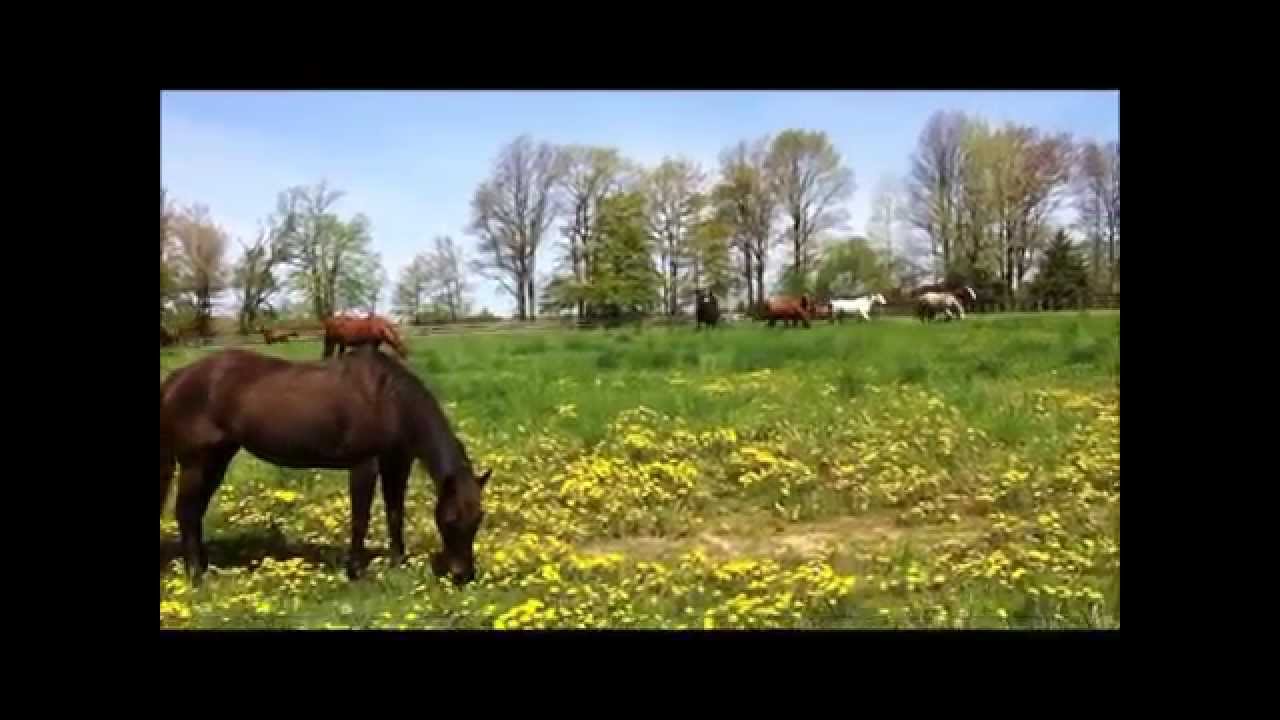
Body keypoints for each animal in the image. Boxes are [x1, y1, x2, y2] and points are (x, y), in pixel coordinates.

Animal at [159, 347, 491, 585]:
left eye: (478, 519)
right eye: (450, 519)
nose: (464, 575)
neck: (388, 399)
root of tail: (179, 376)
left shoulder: (397, 462)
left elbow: (395, 514)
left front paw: (398, 563)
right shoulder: (365, 463)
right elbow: (360, 518)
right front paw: (355, 571)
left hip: (217, 459)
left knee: (195, 513)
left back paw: (204, 568)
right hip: (195, 463)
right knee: (186, 512)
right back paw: (196, 576)